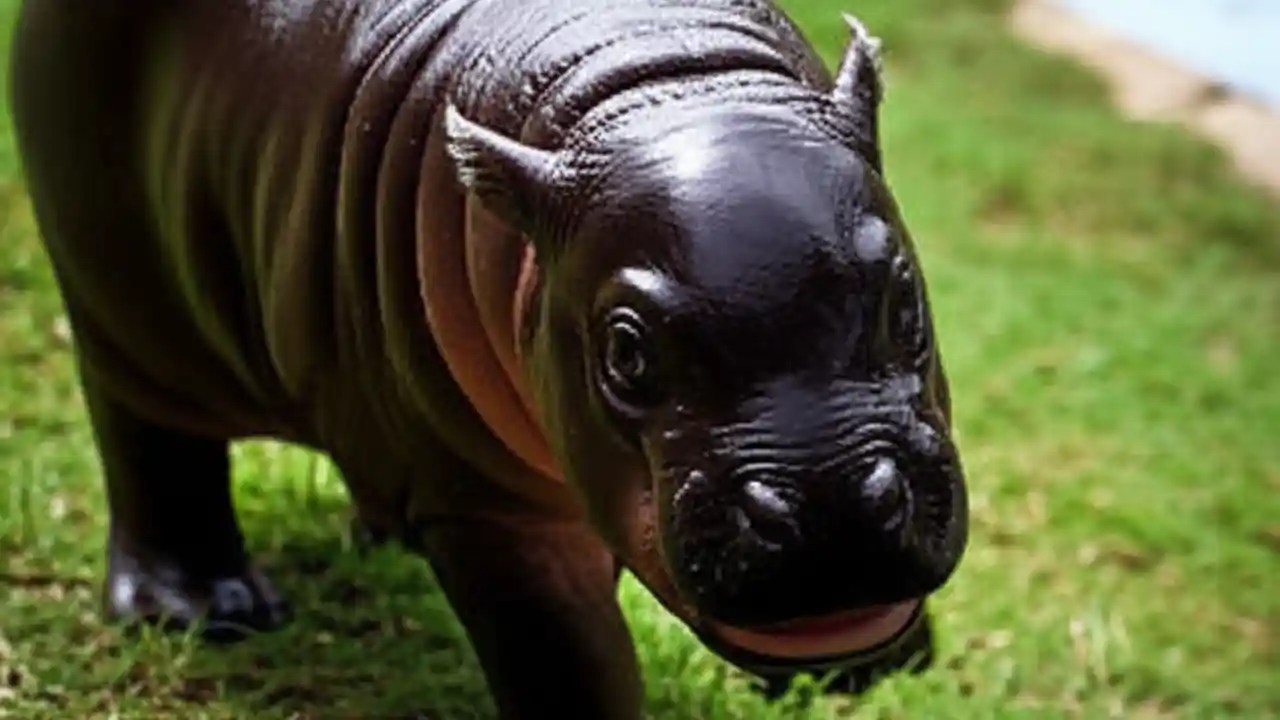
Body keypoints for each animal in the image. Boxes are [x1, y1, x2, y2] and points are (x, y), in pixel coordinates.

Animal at [9, 0, 968, 716]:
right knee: (150, 439)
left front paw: (871, 673)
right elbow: (568, 655)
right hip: (119, 299)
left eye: (904, 295)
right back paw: (209, 610)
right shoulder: (489, 508)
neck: (664, 83)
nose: (831, 511)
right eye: (626, 350)